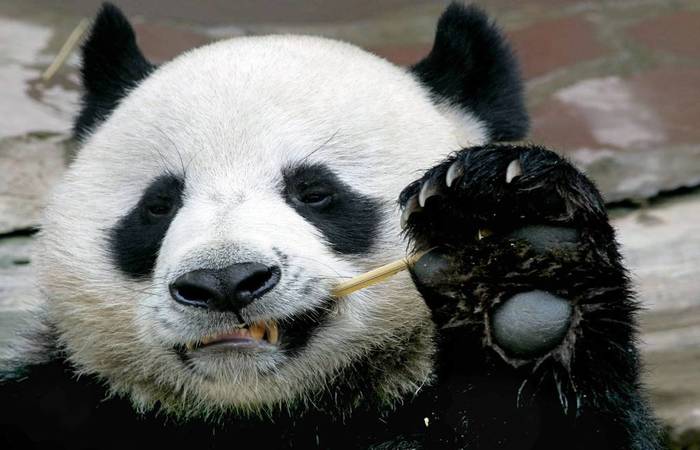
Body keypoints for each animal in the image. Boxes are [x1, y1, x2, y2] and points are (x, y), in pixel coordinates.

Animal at [0, 2, 662, 449]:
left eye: (316, 193)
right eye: (158, 205)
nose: (224, 282)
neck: (264, 414)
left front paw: (514, 244)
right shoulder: (67, 406)